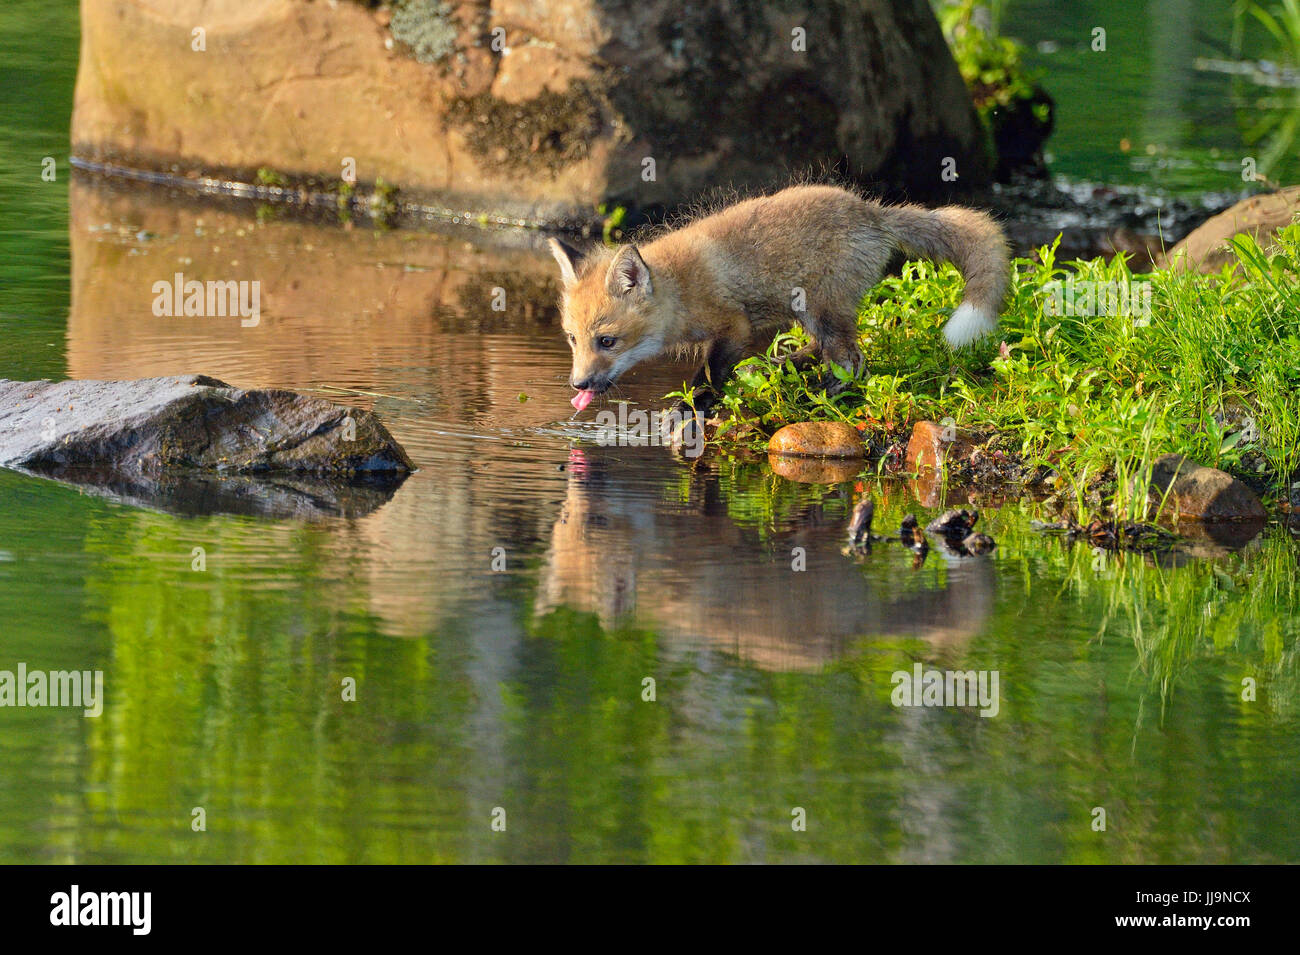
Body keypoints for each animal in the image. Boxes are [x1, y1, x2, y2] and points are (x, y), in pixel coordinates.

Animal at [548, 184, 1009, 416]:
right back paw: (782, 368)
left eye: (607, 342)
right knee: (821, 350)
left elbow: (710, 375)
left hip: (821, 308)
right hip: (808, 313)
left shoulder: (733, 327)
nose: (578, 385)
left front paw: (690, 407)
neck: (680, 291)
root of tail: (873, 213)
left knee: (852, 361)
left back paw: (824, 393)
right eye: (572, 339)